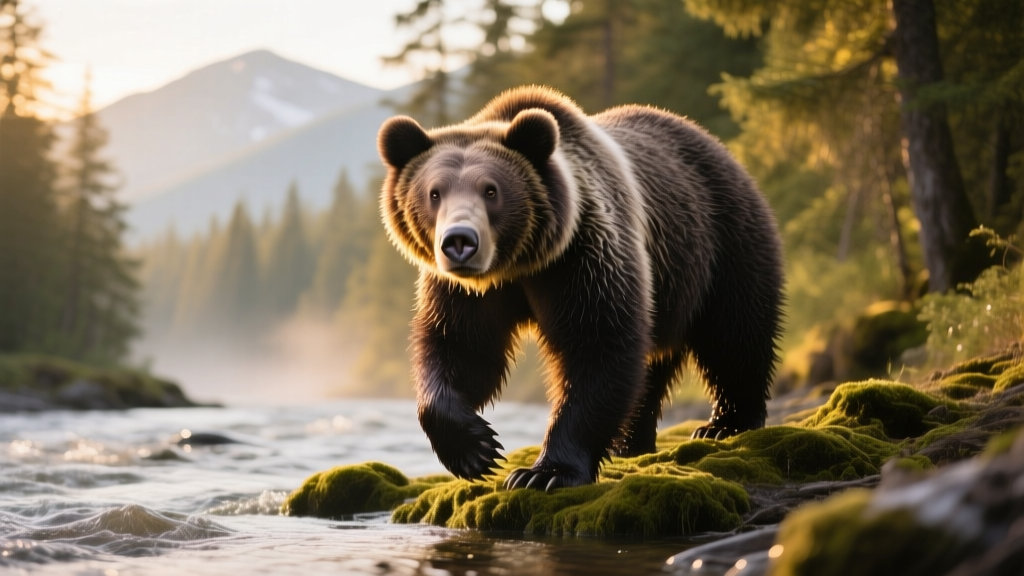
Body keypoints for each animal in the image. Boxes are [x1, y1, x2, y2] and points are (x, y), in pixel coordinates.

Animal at [376, 86, 783, 491]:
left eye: (491, 190)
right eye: (434, 193)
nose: (460, 241)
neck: (519, 263)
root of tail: (716, 144)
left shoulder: (583, 258)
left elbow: (597, 347)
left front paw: (542, 473)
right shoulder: (468, 291)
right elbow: (462, 348)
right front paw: (476, 450)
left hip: (722, 240)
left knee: (735, 332)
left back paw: (724, 425)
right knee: (654, 362)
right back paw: (630, 442)